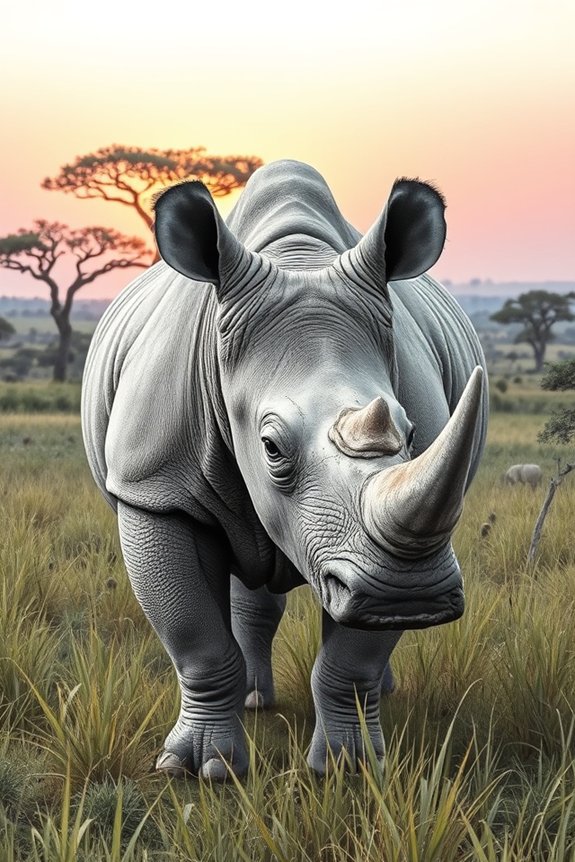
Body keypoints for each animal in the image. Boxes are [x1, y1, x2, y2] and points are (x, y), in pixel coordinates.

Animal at [82, 159, 488, 779]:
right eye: (270, 447)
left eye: (415, 434)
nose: (407, 595)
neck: (298, 260)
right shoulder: (154, 490)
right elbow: (196, 638)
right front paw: (200, 770)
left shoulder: (372, 560)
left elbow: (350, 661)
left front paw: (350, 769)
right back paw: (253, 703)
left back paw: (376, 694)